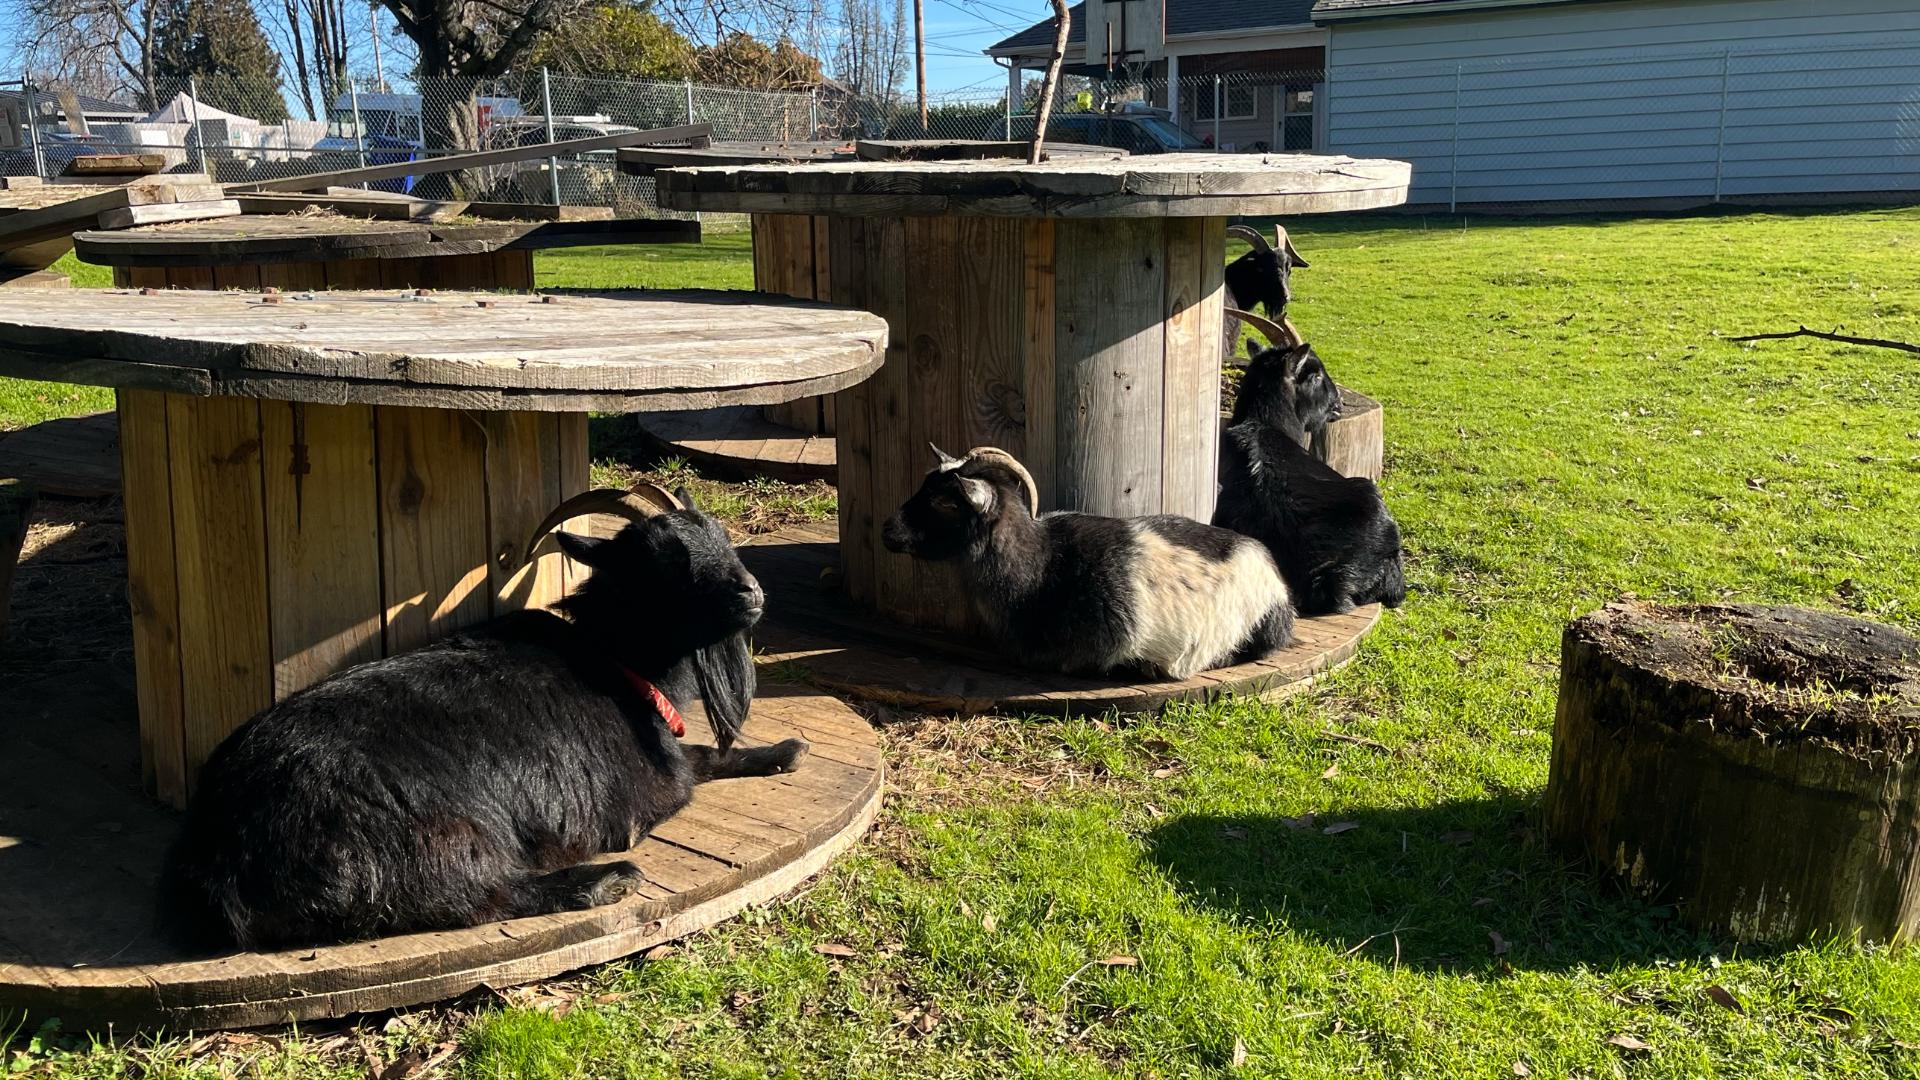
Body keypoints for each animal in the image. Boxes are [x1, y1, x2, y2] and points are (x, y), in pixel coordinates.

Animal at [160, 484, 806, 952]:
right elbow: (697, 764)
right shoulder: (649, 790)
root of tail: (220, 852)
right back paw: (606, 879)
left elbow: (706, 755)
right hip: (436, 838)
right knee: (472, 897)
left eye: (718, 535)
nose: (750, 593)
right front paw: (781, 751)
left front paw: (782, 751)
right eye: (659, 560)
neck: (615, 659)